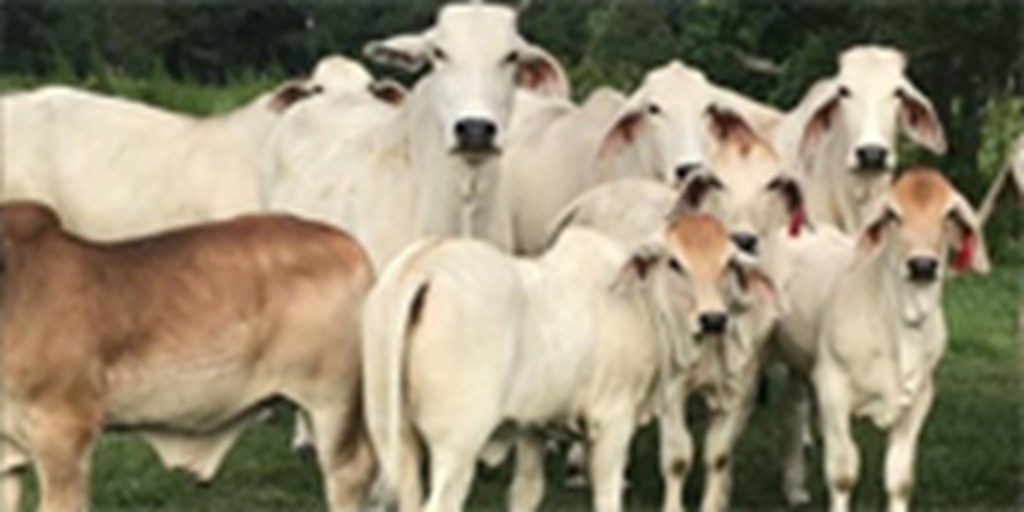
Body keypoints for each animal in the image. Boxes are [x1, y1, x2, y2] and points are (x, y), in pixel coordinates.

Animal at [361, 210, 778, 512]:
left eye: (728, 264)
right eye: (675, 263)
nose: (714, 319)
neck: (642, 303)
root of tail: (426, 265)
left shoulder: (533, 427)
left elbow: (526, 493)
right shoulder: (613, 421)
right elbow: (608, 497)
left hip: (401, 437)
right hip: (458, 447)